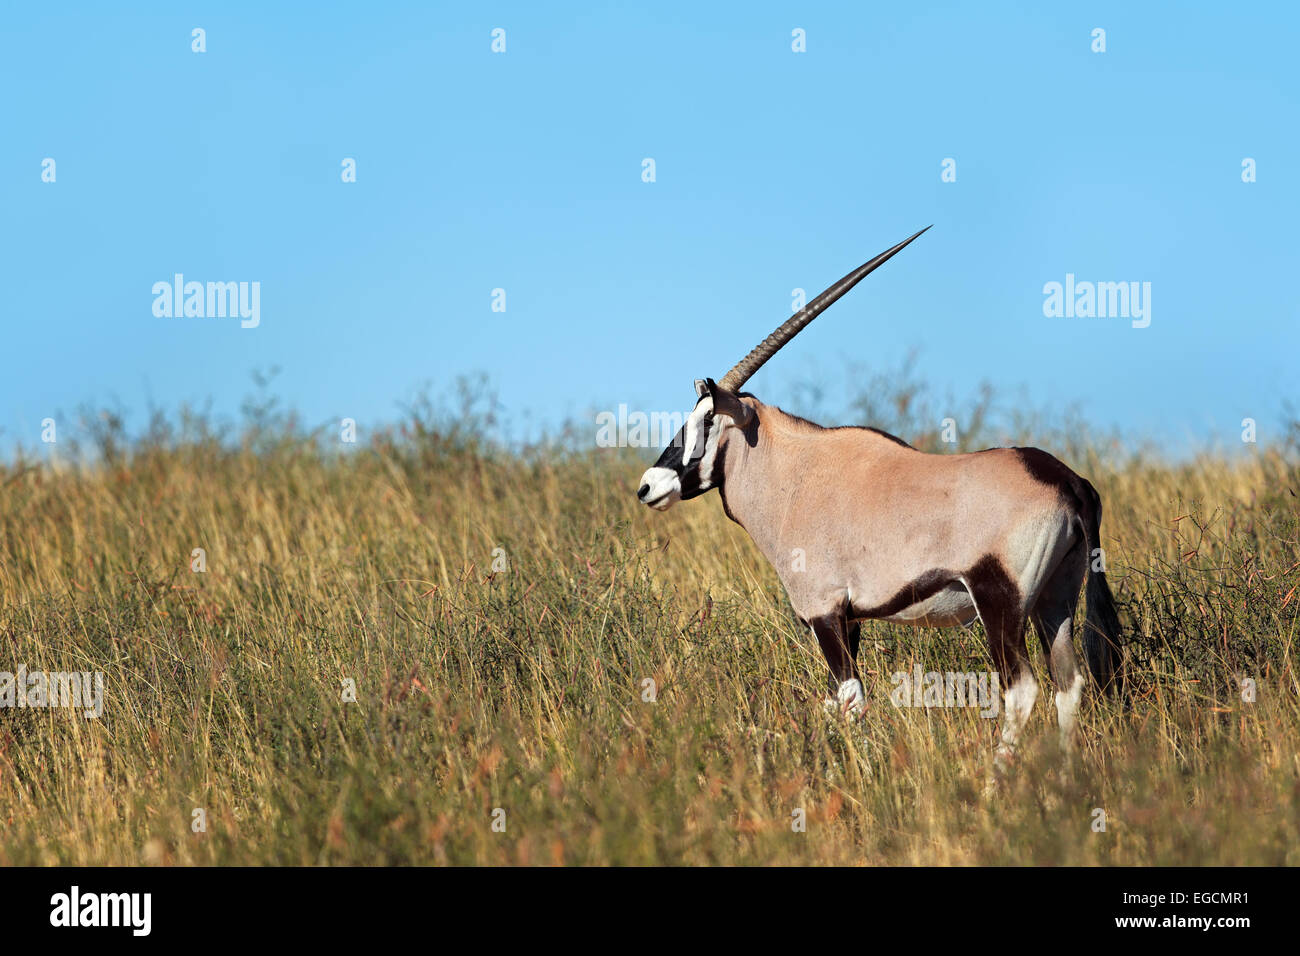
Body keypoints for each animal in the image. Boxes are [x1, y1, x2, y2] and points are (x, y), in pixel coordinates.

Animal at [636, 228, 1124, 760]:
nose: (648, 486)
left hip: (1002, 604)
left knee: (1023, 689)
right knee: (1068, 686)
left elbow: (850, 700)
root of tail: (1069, 482)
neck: (794, 474)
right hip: (1054, 601)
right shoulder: (851, 618)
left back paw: (997, 776)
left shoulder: (825, 612)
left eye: (706, 420)